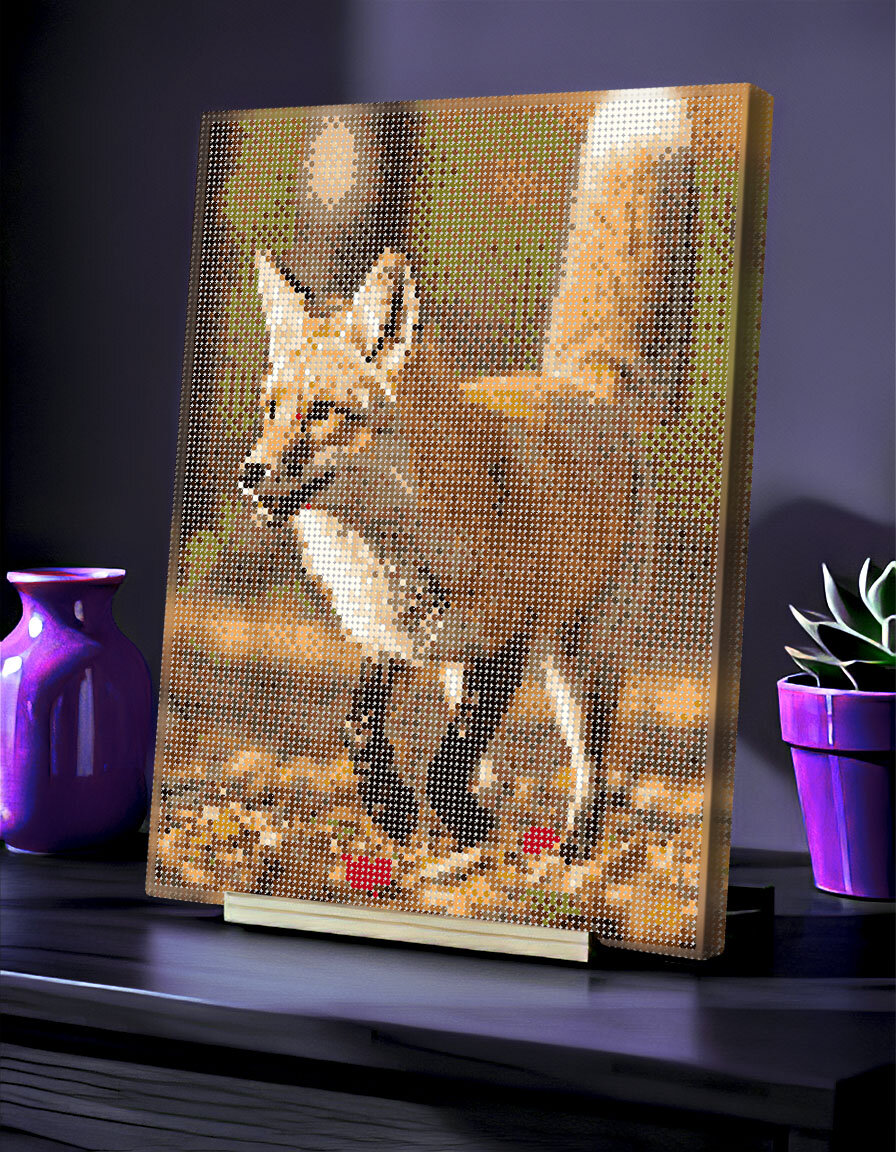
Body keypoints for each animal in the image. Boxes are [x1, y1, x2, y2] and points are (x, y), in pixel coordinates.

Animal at [239, 92, 695, 863]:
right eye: (272, 409)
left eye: (323, 413)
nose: (249, 472)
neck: (393, 550)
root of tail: (584, 385)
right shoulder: (388, 644)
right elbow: (361, 730)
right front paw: (396, 814)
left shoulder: (506, 641)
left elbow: (447, 757)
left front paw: (452, 821)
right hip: (478, 664)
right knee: (488, 750)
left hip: (581, 657)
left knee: (593, 767)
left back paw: (573, 856)